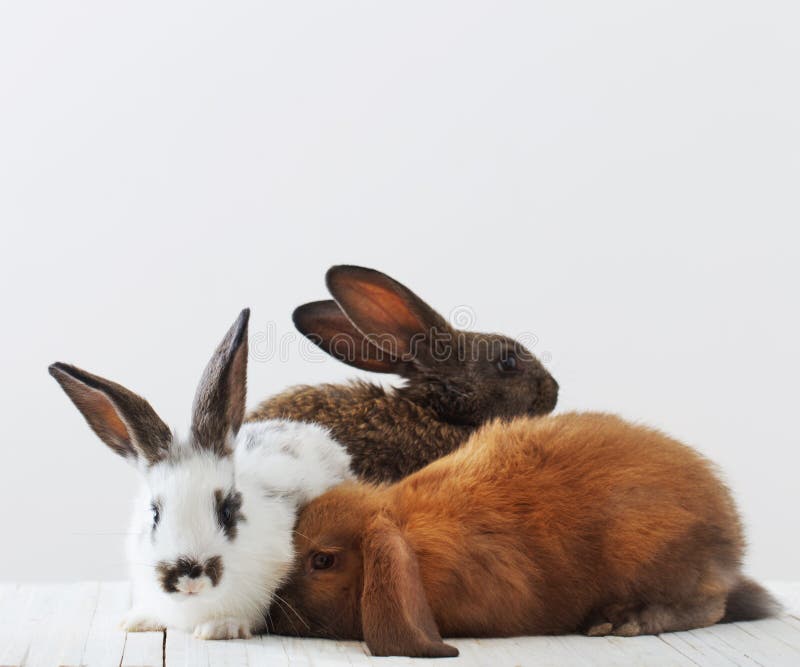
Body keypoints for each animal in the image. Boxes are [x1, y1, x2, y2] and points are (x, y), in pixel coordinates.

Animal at [266, 413, 779, 658]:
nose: (271, 609)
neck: (410, 536)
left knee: (711, 606)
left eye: (323, 560)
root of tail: (731, 541)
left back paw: (622, 622)